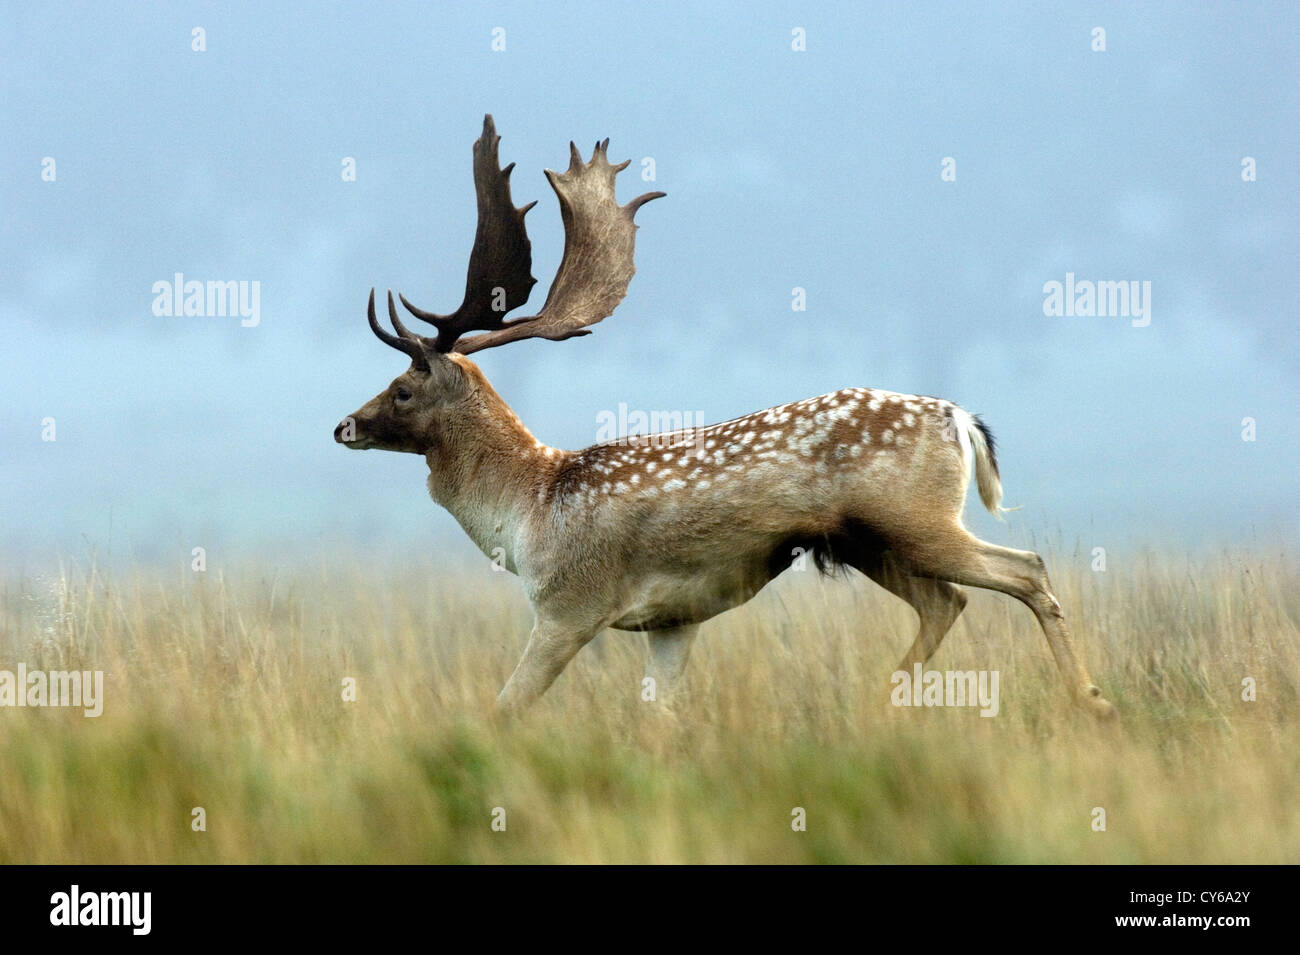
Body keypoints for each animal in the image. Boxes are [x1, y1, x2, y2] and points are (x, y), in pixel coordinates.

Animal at [334, 115, 1117, 722]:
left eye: (402, 388)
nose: (344, 425)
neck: (529, 507)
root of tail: (963, 420)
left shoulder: (569, 604)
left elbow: (505, 708)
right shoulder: (672, 622)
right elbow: (659, 721)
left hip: (914, 518)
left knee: (1024, 568)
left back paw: (1094, 701)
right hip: (869, 541)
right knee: (946, 601)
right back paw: (880, 705)